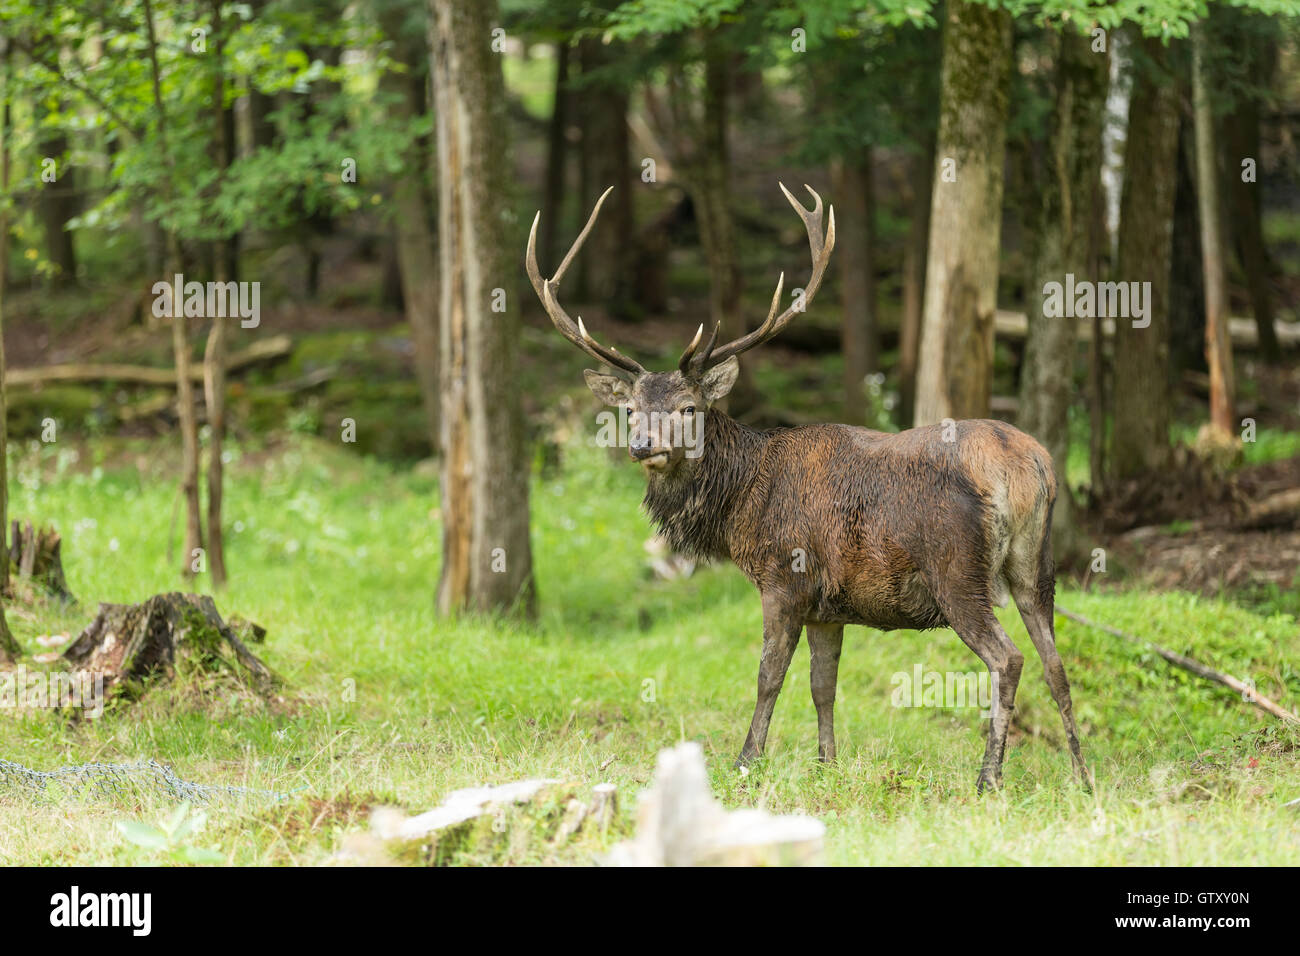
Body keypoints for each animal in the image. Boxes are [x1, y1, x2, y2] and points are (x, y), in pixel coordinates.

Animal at [525, 183, 1089, 793]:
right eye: (630, 409)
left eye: (688, 407)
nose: (641, 445)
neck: (739, 506)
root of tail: (1028, 465)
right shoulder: (829, 606)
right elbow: (824, 685)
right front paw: (828, 764)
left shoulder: (785, 578)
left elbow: (769, 675)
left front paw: (746, 759)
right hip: (1036, 567)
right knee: (1055, 662)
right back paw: (1082, 776)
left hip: (957, 569)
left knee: (1007, 659)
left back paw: (989, 779)